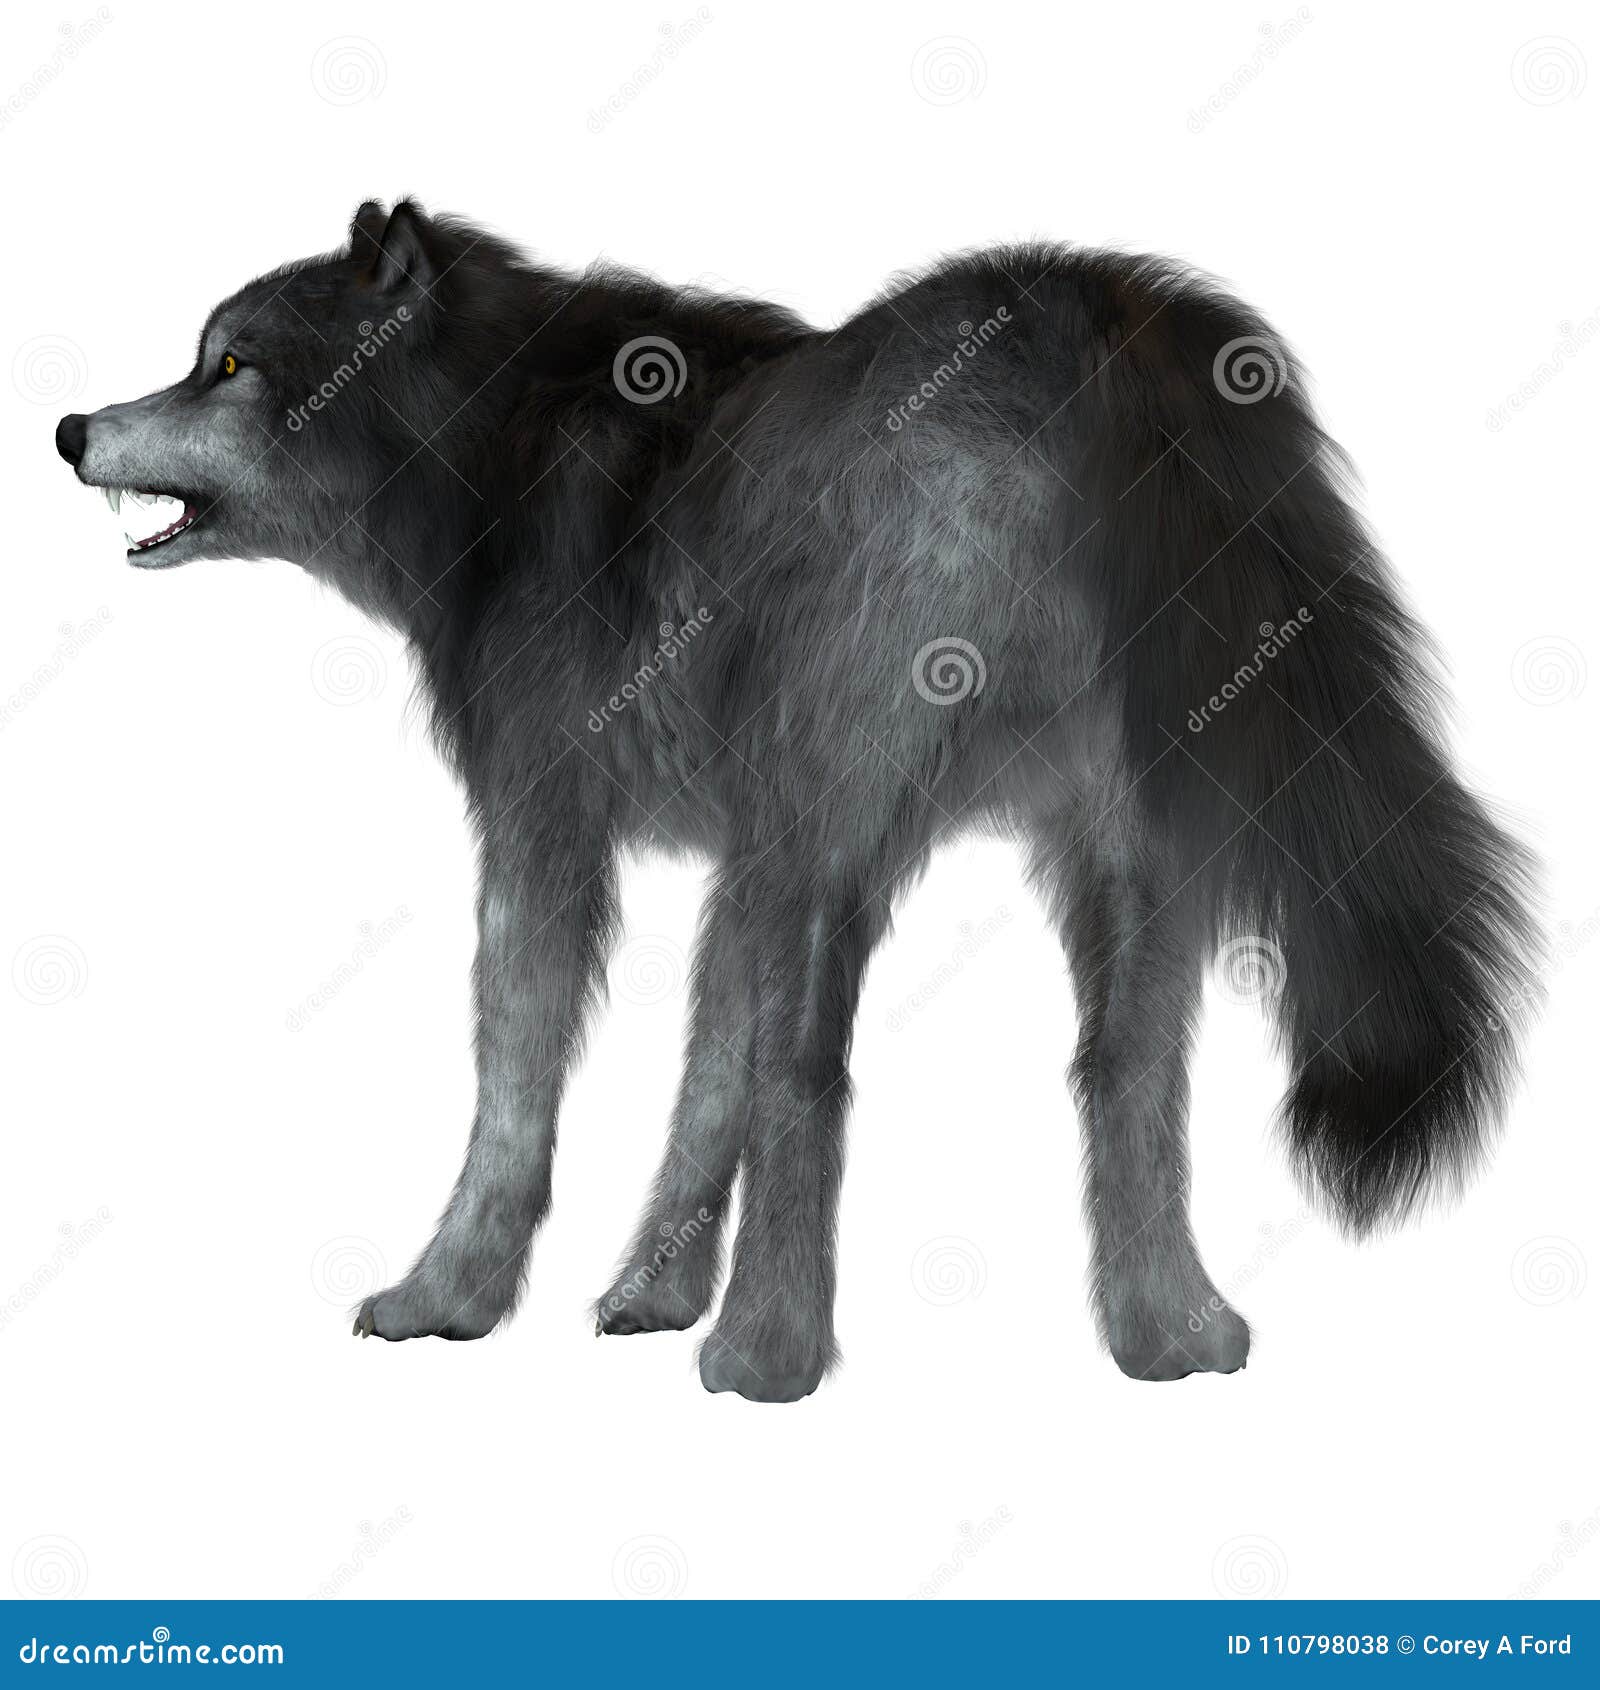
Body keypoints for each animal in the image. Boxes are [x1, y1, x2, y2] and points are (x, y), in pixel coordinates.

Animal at [56, 201, 1540, 1400]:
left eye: (228, 362)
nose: (69, 427)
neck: (494, 447)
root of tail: (1090, 311)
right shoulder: (741, 853)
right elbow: (710, 1079)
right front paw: (649, 1290)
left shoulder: (553, 827)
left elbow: (523, 1089)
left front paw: (450, 1298)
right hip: (1113, 856)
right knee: (1126, 1074)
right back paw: (1168, 1337)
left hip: (840, 833)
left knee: (817, 1075)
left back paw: (764, 1357)